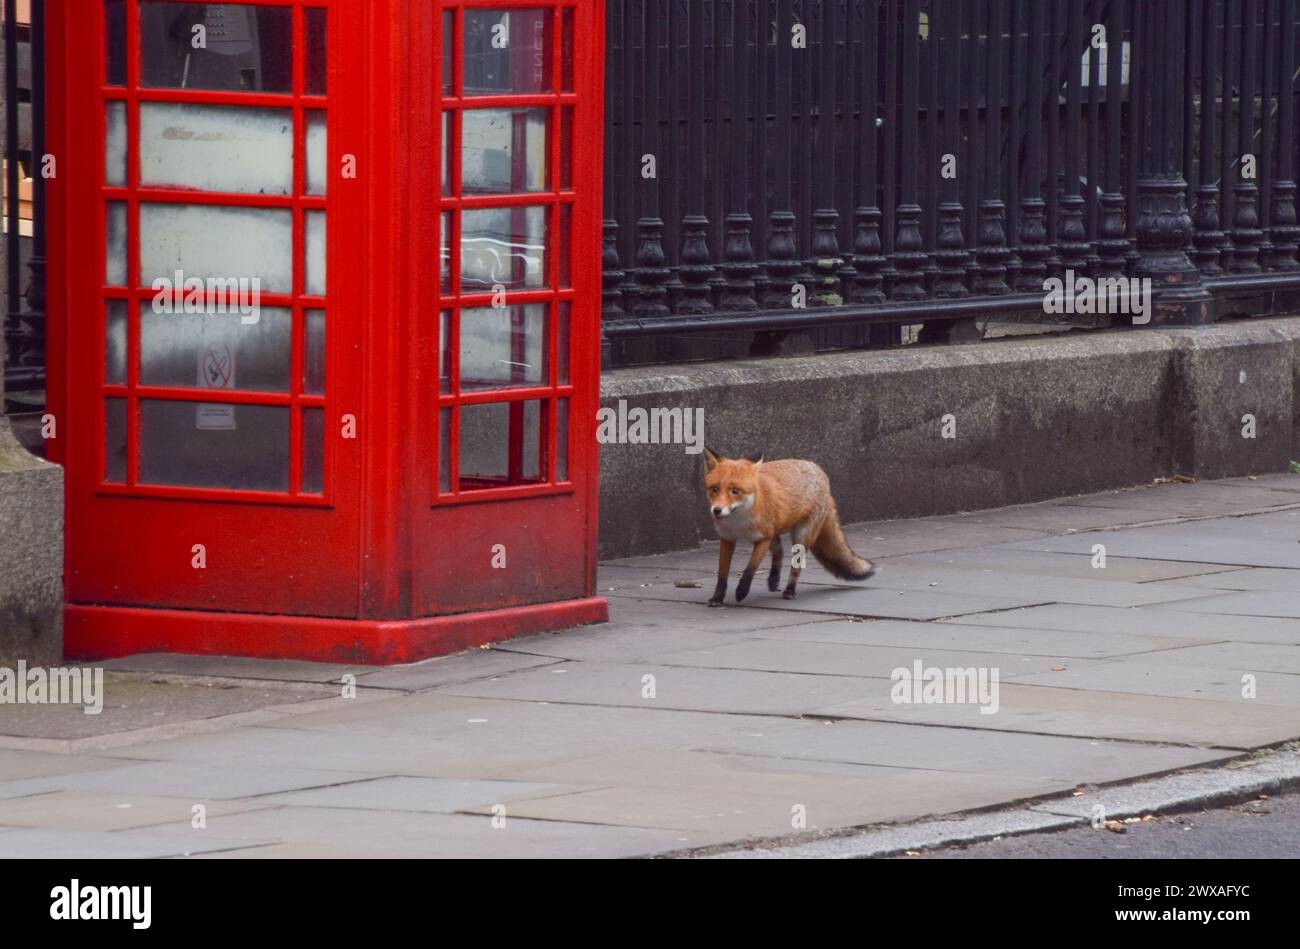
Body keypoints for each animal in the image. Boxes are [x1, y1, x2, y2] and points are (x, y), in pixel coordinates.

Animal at [702, 447, 877, 606]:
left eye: (735, 491)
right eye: (715, 489)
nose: (717, 510)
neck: (738, 522)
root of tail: (818, 469)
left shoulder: (763, 539)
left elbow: (750, 569)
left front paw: (741, 592)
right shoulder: (727, 539)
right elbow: (722, 574)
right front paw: (717, 598)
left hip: (801, 535)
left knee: (795, 566)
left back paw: (790, 590)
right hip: (776, 533)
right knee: (780, 551)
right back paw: (774, 580)